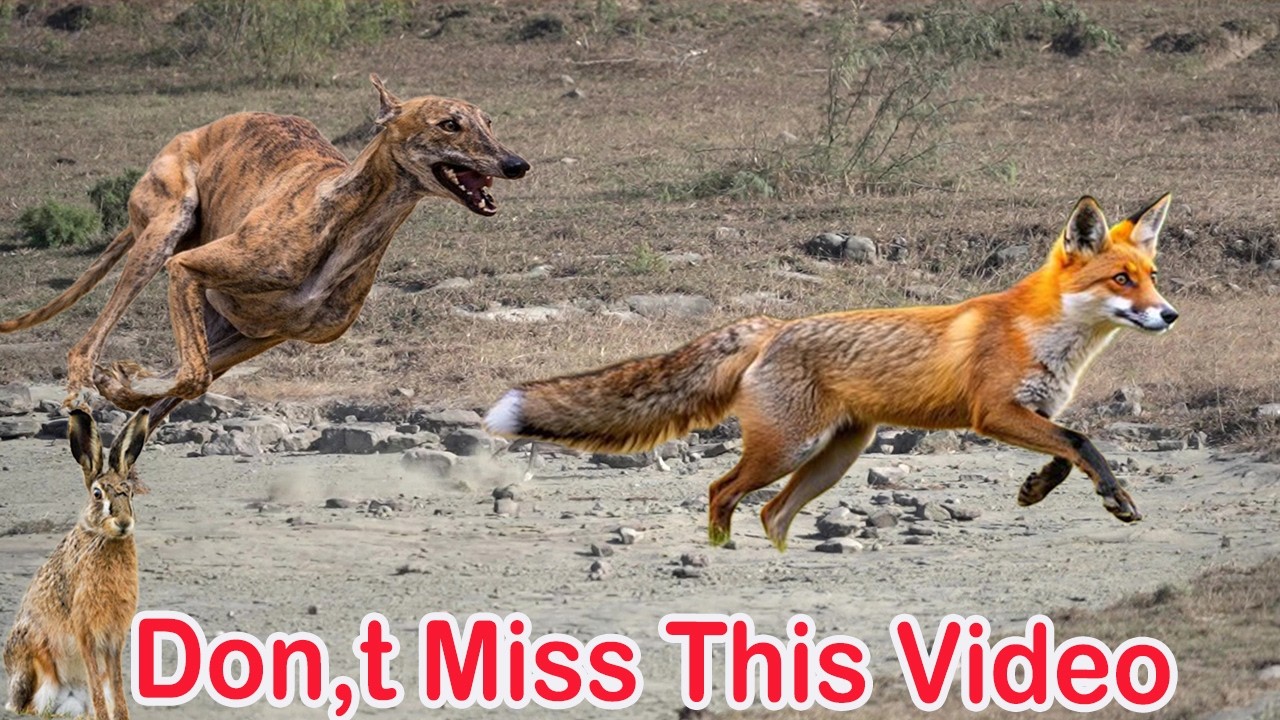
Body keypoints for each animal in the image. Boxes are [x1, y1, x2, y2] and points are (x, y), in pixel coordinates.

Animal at [4, 408, 149, 720]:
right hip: (33, 655)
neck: (104, 539)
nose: (124, 522)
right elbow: (95, 673)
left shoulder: (115, 636)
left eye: (130, 494)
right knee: (27, 705)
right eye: (97, 494)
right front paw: (105, 715)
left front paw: (121, 715)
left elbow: (115, 679)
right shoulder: (85, 630)